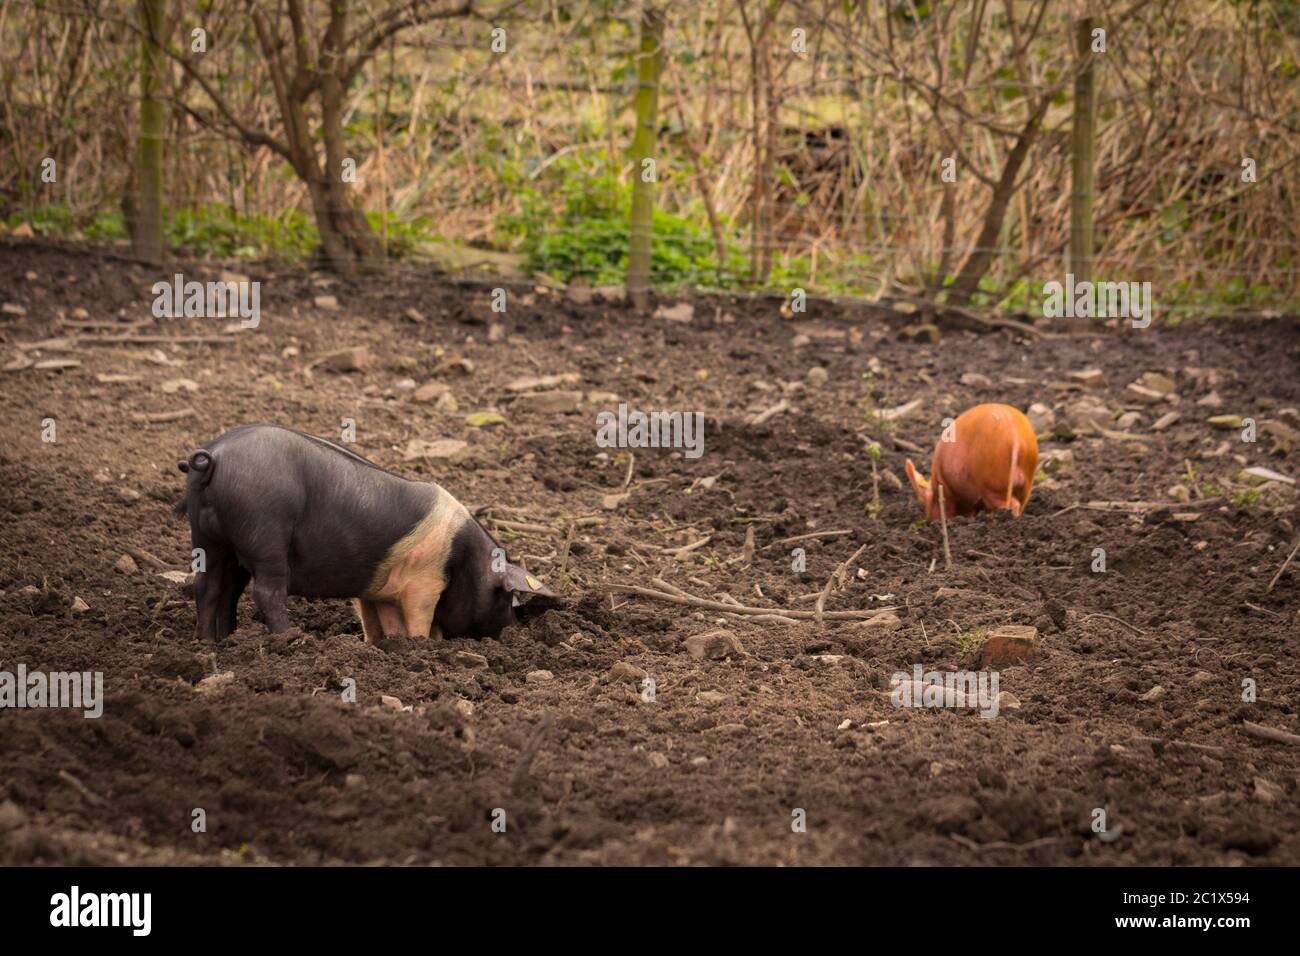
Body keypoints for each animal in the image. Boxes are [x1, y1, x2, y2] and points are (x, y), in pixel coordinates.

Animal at [173, 424, 557, 642]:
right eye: (506, 597)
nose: (510, 631)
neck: (462, 558)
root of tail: (214, 457)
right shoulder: (424, 583)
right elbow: (419, 619)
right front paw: (423, 647)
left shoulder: (378, 591)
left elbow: (380, 623)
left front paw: (380, 646)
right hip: (264, 534)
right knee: (265, 592)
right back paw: (291, 638)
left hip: (209, 539)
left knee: (212, 587)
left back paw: (212, 643)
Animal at [904, 403, 1039, 520]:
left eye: (927, 503)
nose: (930, 521)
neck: (940, 483)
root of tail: (1015, 436)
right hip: (1026, 481)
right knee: (1019, 503)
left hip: (994, 486)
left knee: (1012, 504)